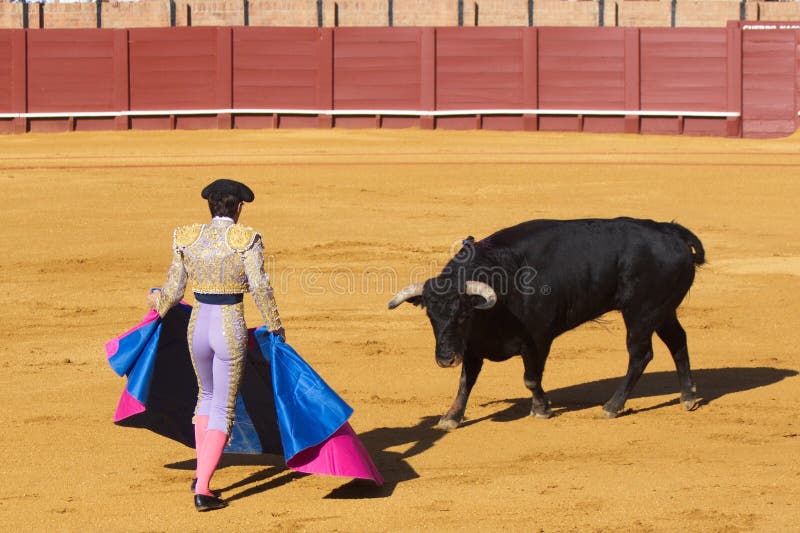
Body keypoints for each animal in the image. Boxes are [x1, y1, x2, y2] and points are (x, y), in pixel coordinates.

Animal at [388, 217, 704, 429]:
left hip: (641, 313)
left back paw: (612, 406)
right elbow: (465, 382)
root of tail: (671, 232)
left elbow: (530, 378)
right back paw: (687, 396)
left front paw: (541, 409)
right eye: (431, 316)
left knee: (640, 355)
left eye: (464, 315)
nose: (445, 359)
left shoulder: (537, 340)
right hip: (663, 311)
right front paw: (451, 417)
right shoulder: (473, 346)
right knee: (678, 341)